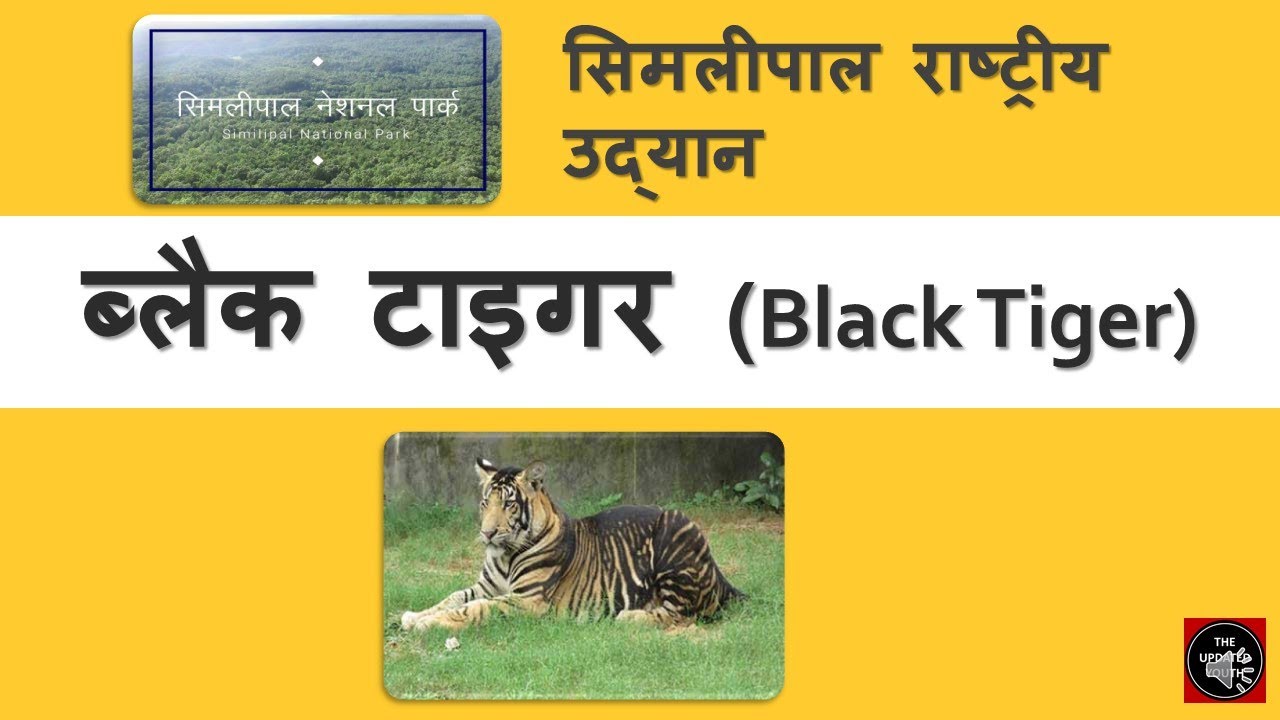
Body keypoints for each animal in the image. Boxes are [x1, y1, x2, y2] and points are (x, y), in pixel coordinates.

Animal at [400, 458, 743, 631]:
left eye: (509, 504)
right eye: (486, 503)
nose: (487, 533)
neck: (506, 555)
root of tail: (718, 574)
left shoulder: (528, 599)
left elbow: (474, 608)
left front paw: (426, 623)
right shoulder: (487, 586)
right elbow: (454, 597)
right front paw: (413, 615)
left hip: (674, 532)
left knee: (682, 613)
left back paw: (629, 617)